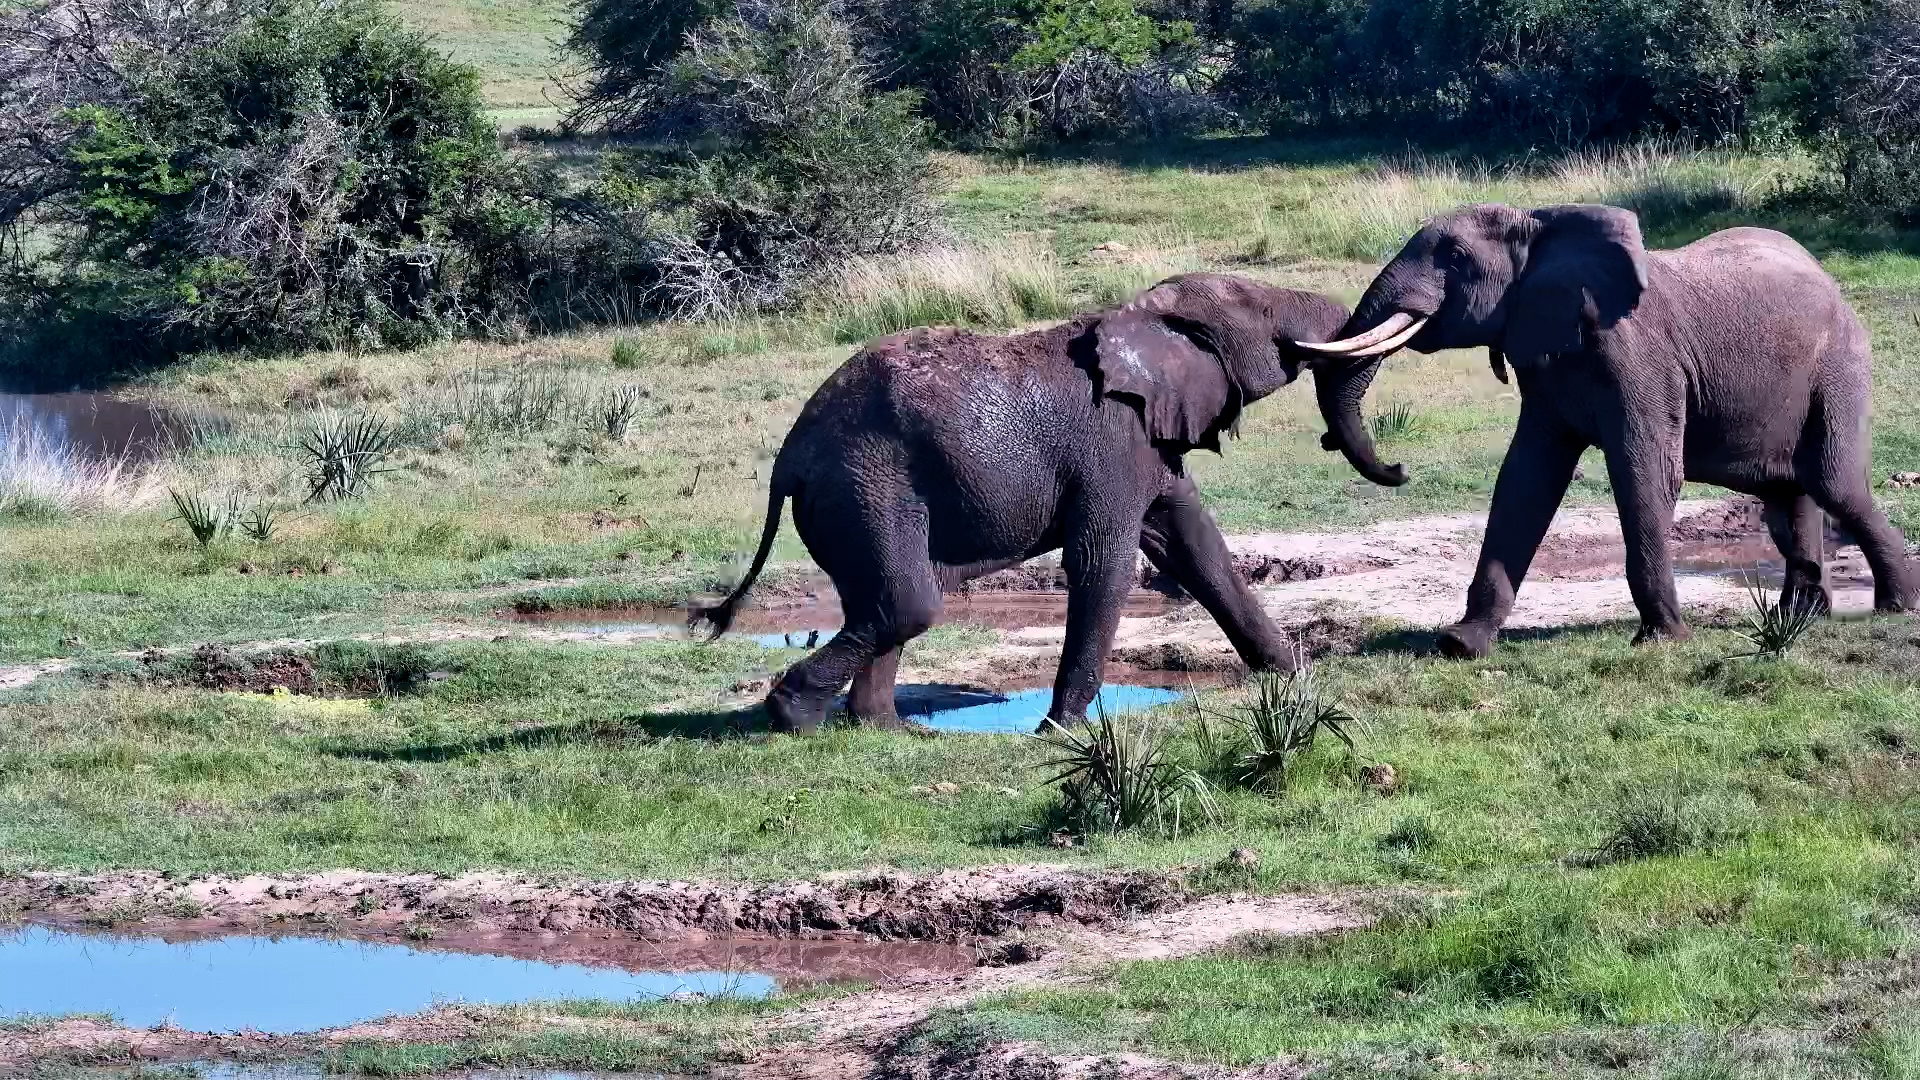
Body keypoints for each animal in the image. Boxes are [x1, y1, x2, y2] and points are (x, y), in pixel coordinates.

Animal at [695, 273, 1350, 733]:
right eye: (1261, 310)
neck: (1142, 316)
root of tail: (788, 457)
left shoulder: (1148, 444)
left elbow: (1194, 544)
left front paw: (1294, 677)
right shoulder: (1110, 444)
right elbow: (1103, 564)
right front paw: (1060, 732)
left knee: (882, 603)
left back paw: (884, 730)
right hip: (866, 489)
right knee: (907, 603)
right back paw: (794, 718)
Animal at [1299, 202, 1917, 658]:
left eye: (1454, 256)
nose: (1398, 468)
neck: (1542, 228)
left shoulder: (1641, 361)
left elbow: (1646, 472)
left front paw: (1662, 641)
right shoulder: (1545, 363)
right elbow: (1525, 478)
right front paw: (1461, 644)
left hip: (1840, 367)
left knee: (1836, 485)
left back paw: (1896, 607)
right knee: (1788, 496)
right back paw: (1802, 615)